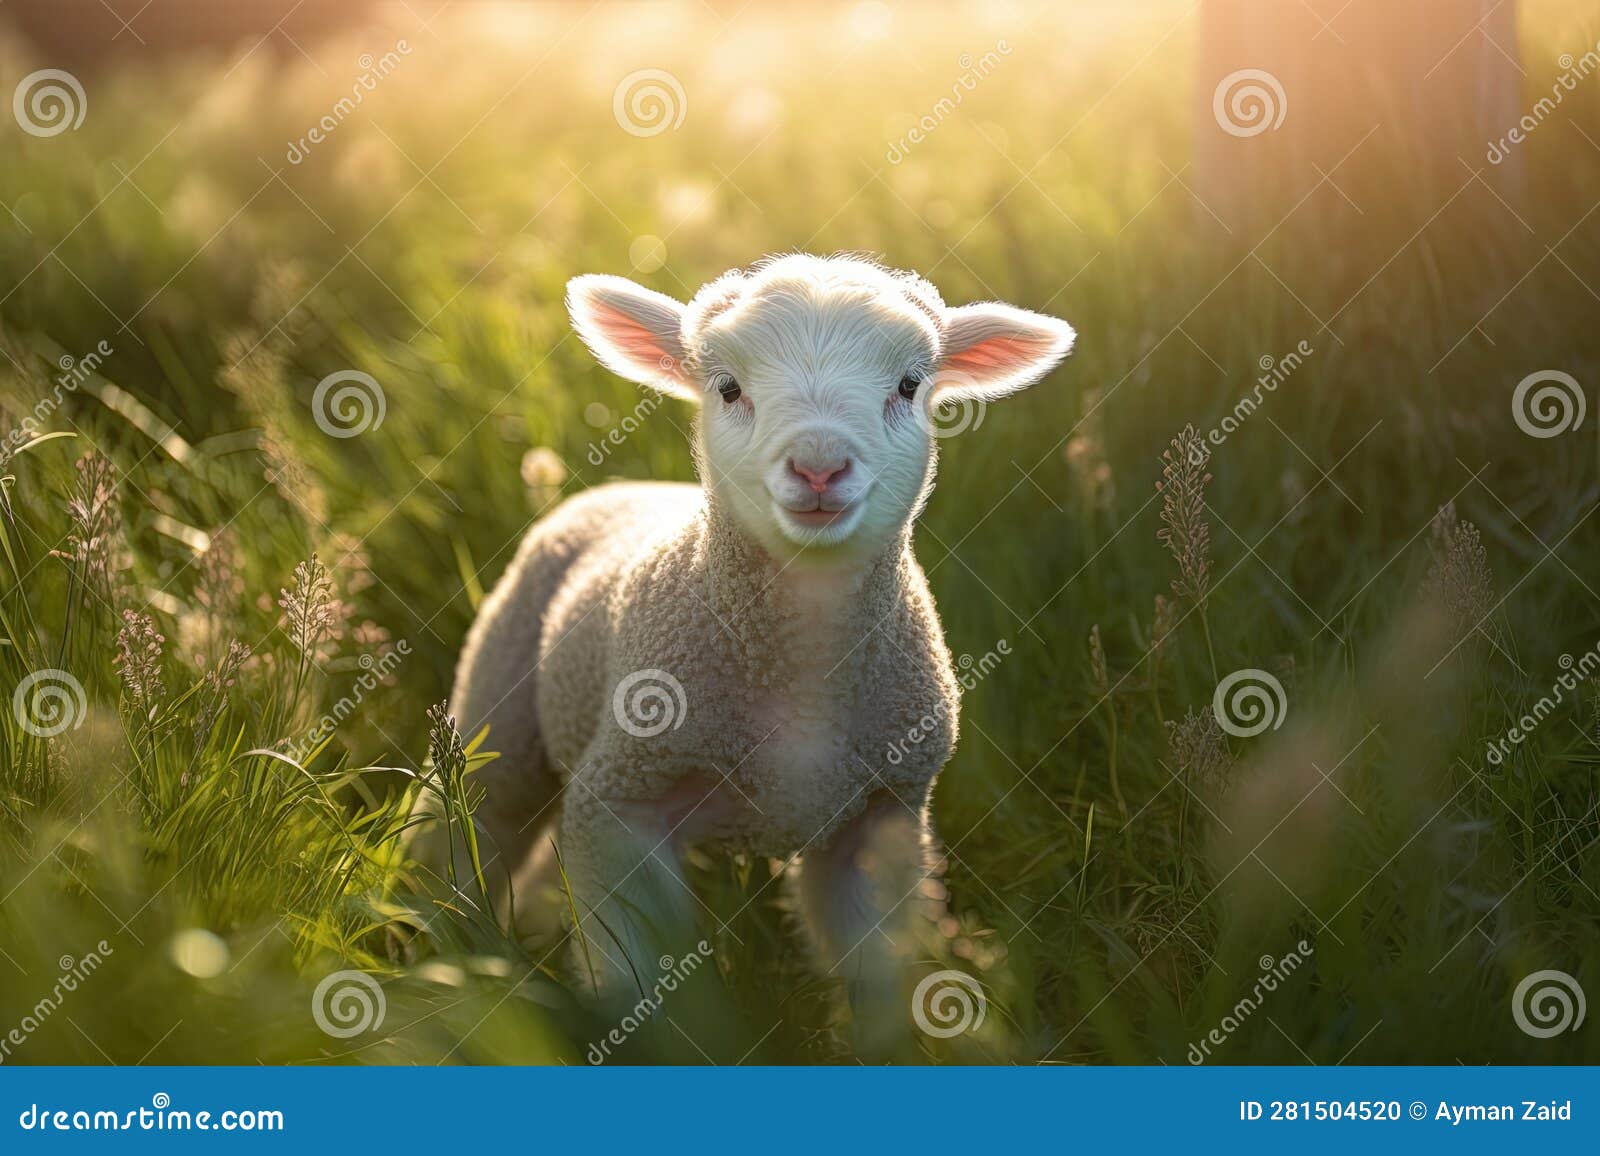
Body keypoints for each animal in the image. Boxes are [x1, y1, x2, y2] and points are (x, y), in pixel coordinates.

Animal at [410, 253, 1074, 1036]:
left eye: (910, 385)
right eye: (727, 387)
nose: (819, 467)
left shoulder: (881, 814)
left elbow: (878, 972)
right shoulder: (621, 800)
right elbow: (644, 975)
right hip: (501, 707)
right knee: (475, 825)